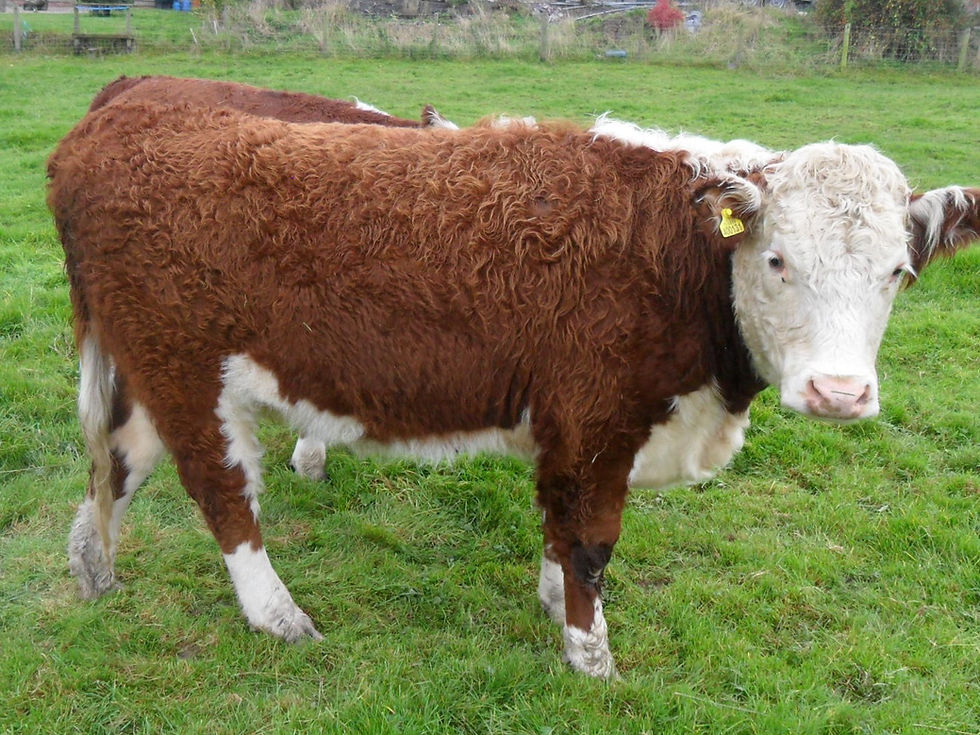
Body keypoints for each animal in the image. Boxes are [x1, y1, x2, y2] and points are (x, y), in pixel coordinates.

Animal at [48, 99, 978, 678]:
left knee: (119, 464)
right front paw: (591, 655)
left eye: (898, 273)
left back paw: (94, 570)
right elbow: (592, 540)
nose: (838, 391)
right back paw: (278, 615)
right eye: (778, 260)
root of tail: (106, 126)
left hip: (149, 368)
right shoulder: (598, 420)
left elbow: (563, 535)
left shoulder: (575, 431)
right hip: (186, 368)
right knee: (222, 491)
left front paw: (555, 604)